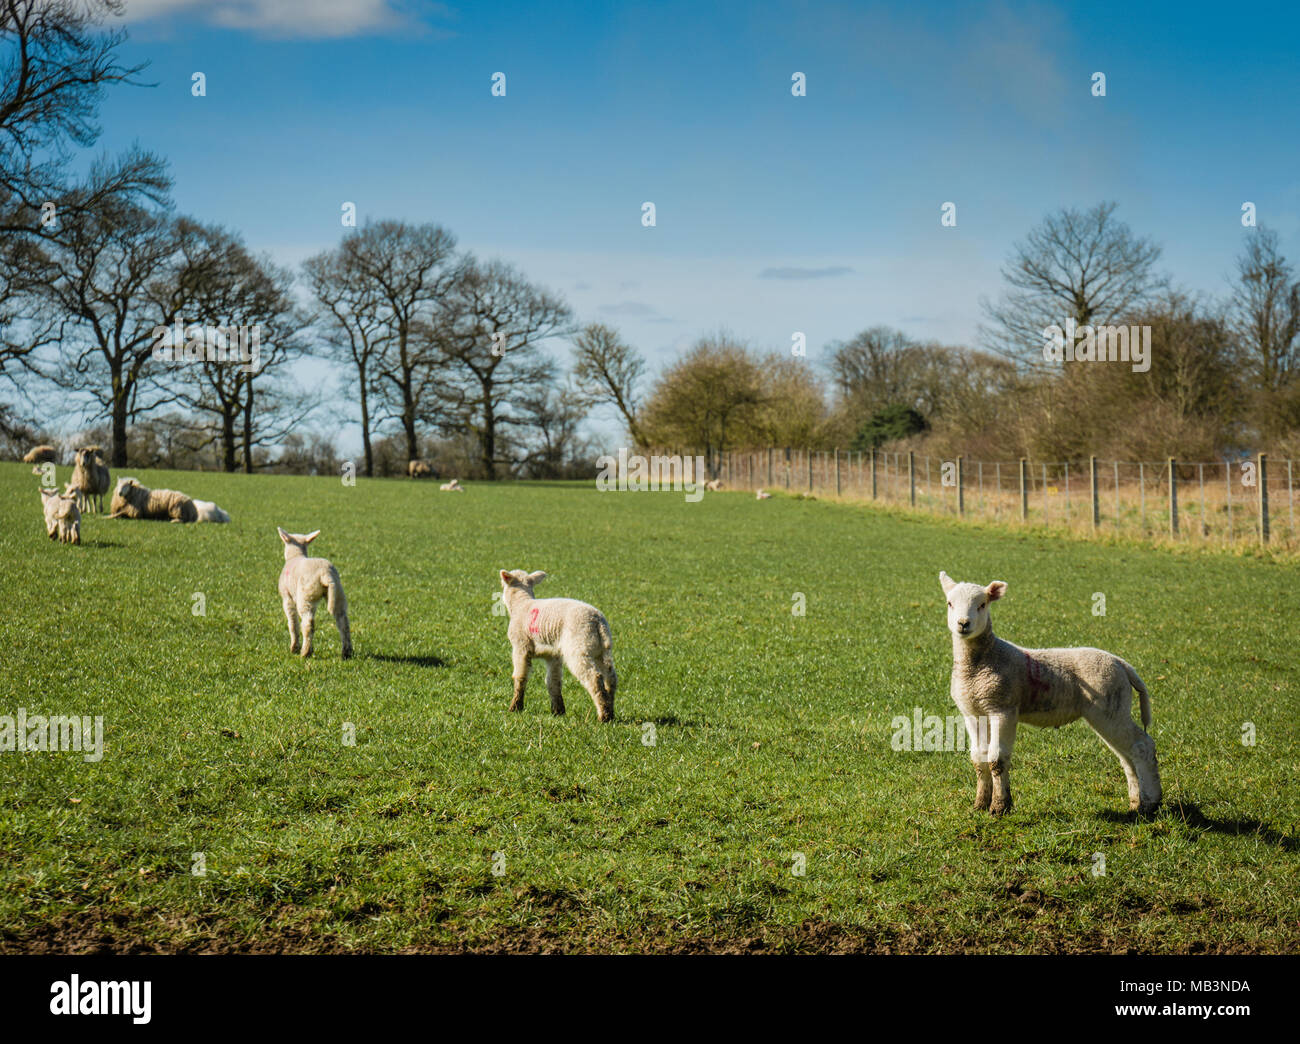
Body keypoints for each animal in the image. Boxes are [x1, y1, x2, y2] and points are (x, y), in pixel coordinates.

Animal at [278, 528, 352, 659]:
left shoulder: (287, 598)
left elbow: (292, 623)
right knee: (343, 622)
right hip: (337, 593)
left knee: (308, 623)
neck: (295, 556)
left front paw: (294, 648)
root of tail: (325, 573)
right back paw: (346, 652)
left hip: (305, 596)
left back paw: (305, 652)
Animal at [498, 569, 616, 722]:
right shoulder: (552, 655)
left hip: (578, 648)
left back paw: (603, 716)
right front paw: (558, 711)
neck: (521, 604)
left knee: (594, 678)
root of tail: (598, 621)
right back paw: (610, 711)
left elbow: (520, 677)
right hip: (600, 651)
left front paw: (515, 707)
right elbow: (553, 682)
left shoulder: (520, 647)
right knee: (610, 677)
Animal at [939, 571, 1161, 816]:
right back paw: (1135, 802)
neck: (981, 663)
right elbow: (979, 759)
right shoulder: (972, 712)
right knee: (1126, 755)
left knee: (1141, 746)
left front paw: (1000, 806)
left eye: (982, 604)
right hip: (1110, 710)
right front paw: (980, 804)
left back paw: (1151, 803)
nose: (963, 624)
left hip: (1110, 706)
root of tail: (1122, 663)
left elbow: (997, 759)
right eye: (950, 603)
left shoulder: (1003, 708)